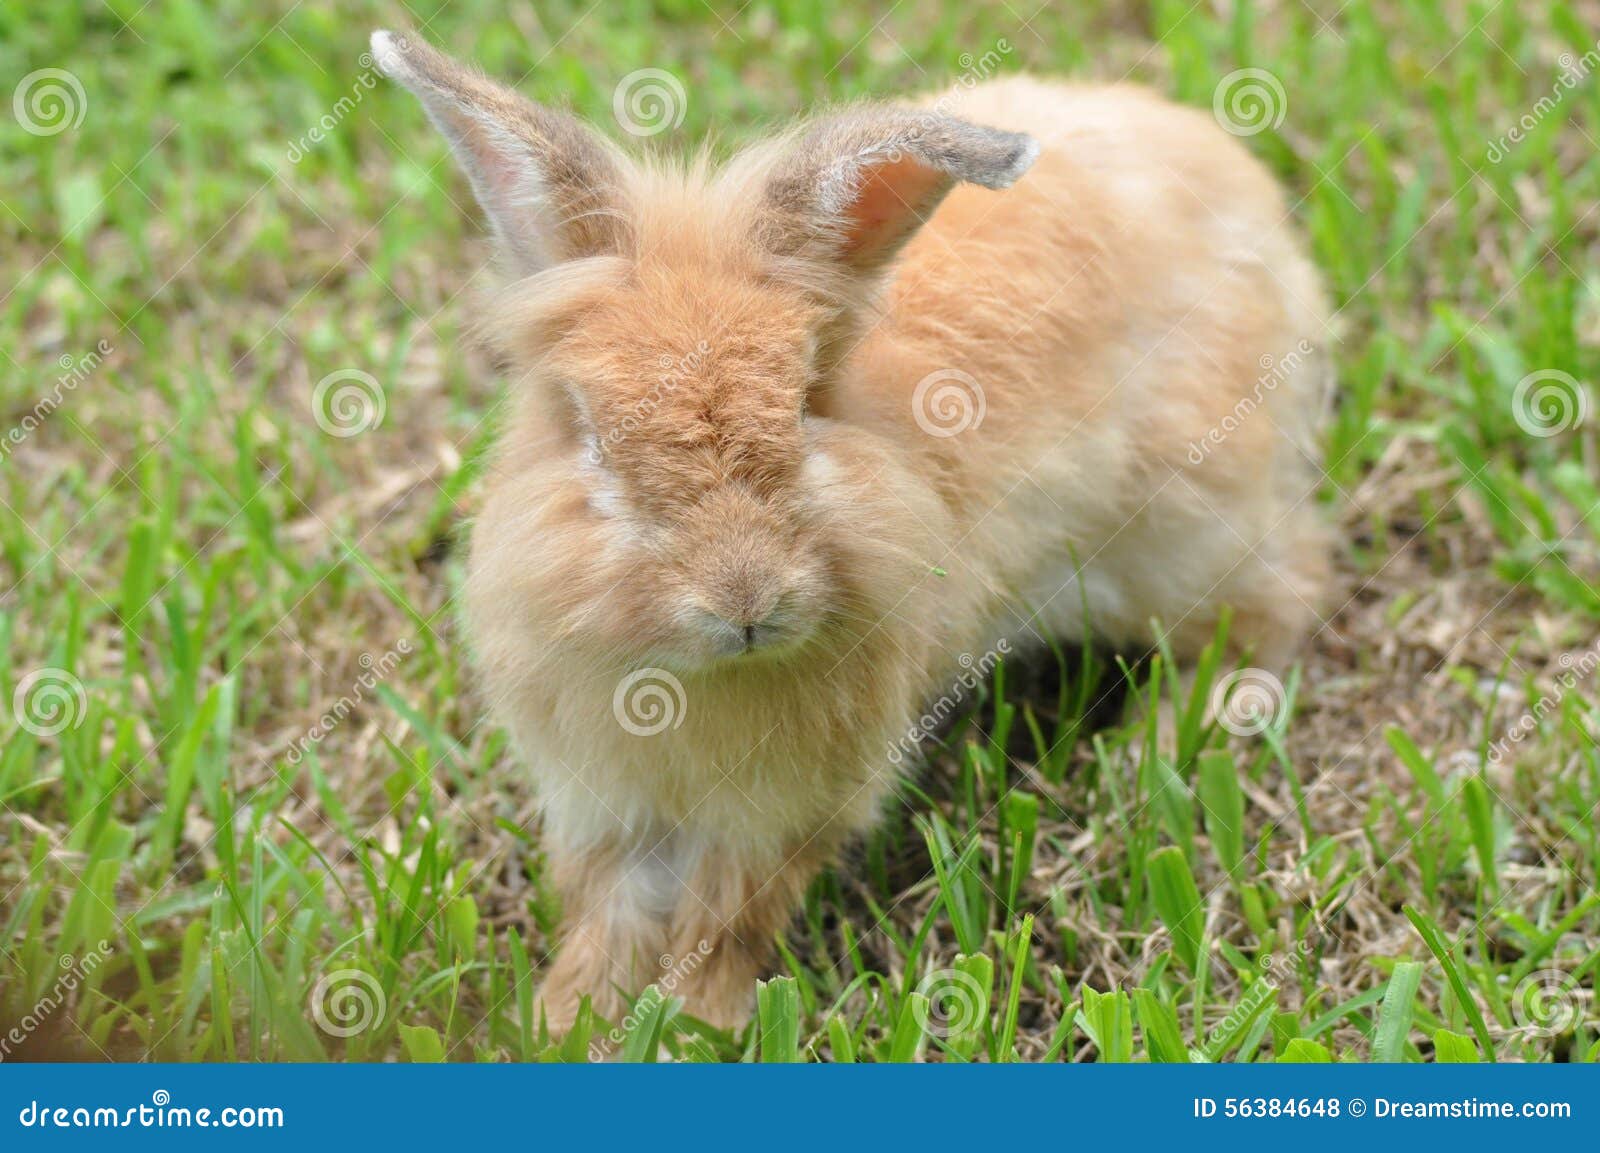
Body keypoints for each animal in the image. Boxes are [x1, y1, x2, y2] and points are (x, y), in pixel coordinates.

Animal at [371, 29, 1331, 1033]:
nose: (746, 602)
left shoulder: (781, 814)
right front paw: (571, 1017)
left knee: (1284, 594)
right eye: (593, 435)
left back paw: (1188, 723)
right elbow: (611, 912)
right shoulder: (609, 810)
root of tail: (1243, 198)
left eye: (801, 407)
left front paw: (699, 1022)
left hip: (1185, 534)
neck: (696, 678)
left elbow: (726, 919)